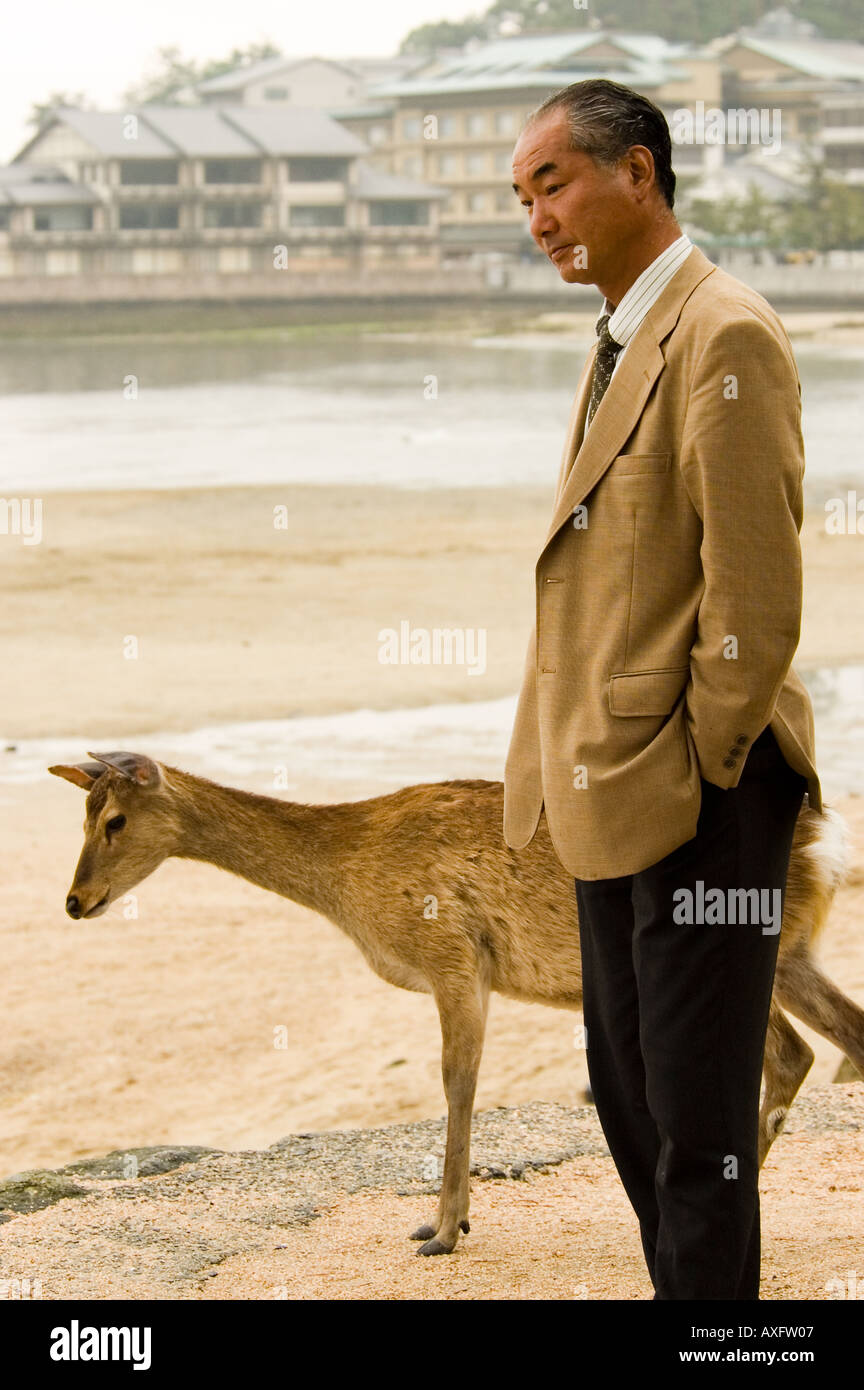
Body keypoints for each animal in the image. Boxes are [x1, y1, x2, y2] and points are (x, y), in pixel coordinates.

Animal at [49, 749, 863, 1256]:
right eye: (81, 816)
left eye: (115, 821)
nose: (75, 901)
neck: (349, 873)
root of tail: (829, 846)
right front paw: (443, 1223)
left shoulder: (452, 956)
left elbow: (457, 1083)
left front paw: (442, 1231)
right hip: (794, 953)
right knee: (828, 1040)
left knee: (793, 1051)